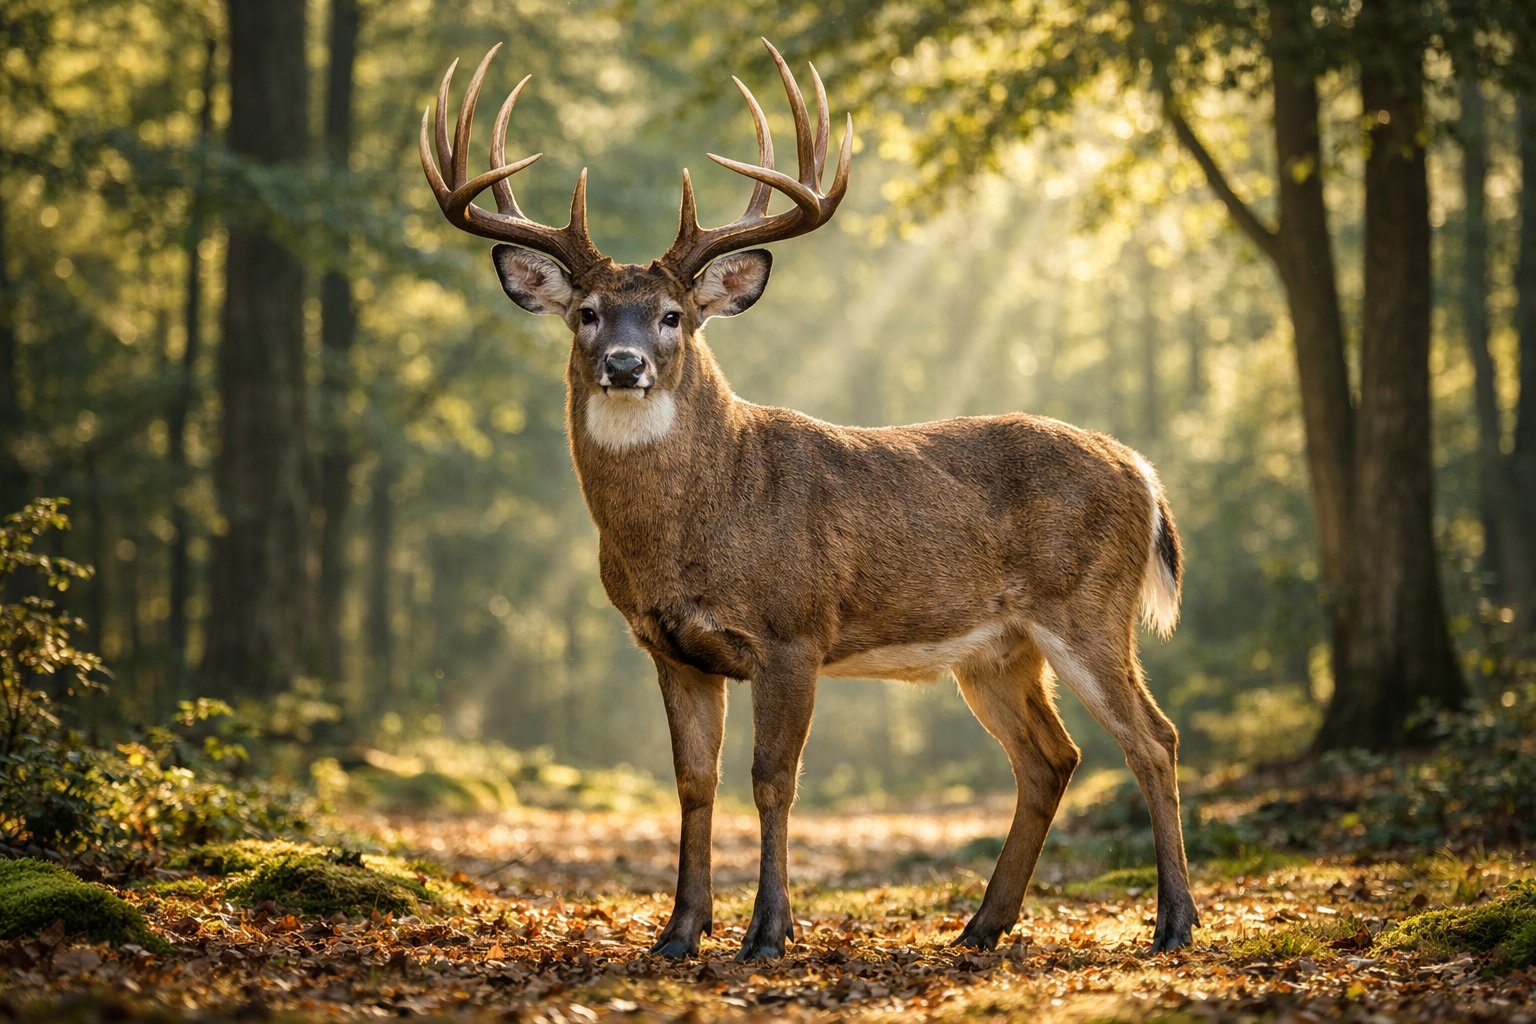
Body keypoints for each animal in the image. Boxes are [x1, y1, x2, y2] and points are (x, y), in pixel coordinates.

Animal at [420, 38, 1199, 961]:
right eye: (587, 312)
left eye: (673, 315)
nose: (624, 363)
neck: (696, 522)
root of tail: (1141, 470)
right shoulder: (669, 647)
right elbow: (693, 781)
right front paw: (679, 933)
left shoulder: (794, 630)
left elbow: (773, 780)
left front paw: (768, 932)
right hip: (995, 651)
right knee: (1052, 757)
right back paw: (982, 925)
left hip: (1086, 606)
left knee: (1153, 737)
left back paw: (1174, 922)